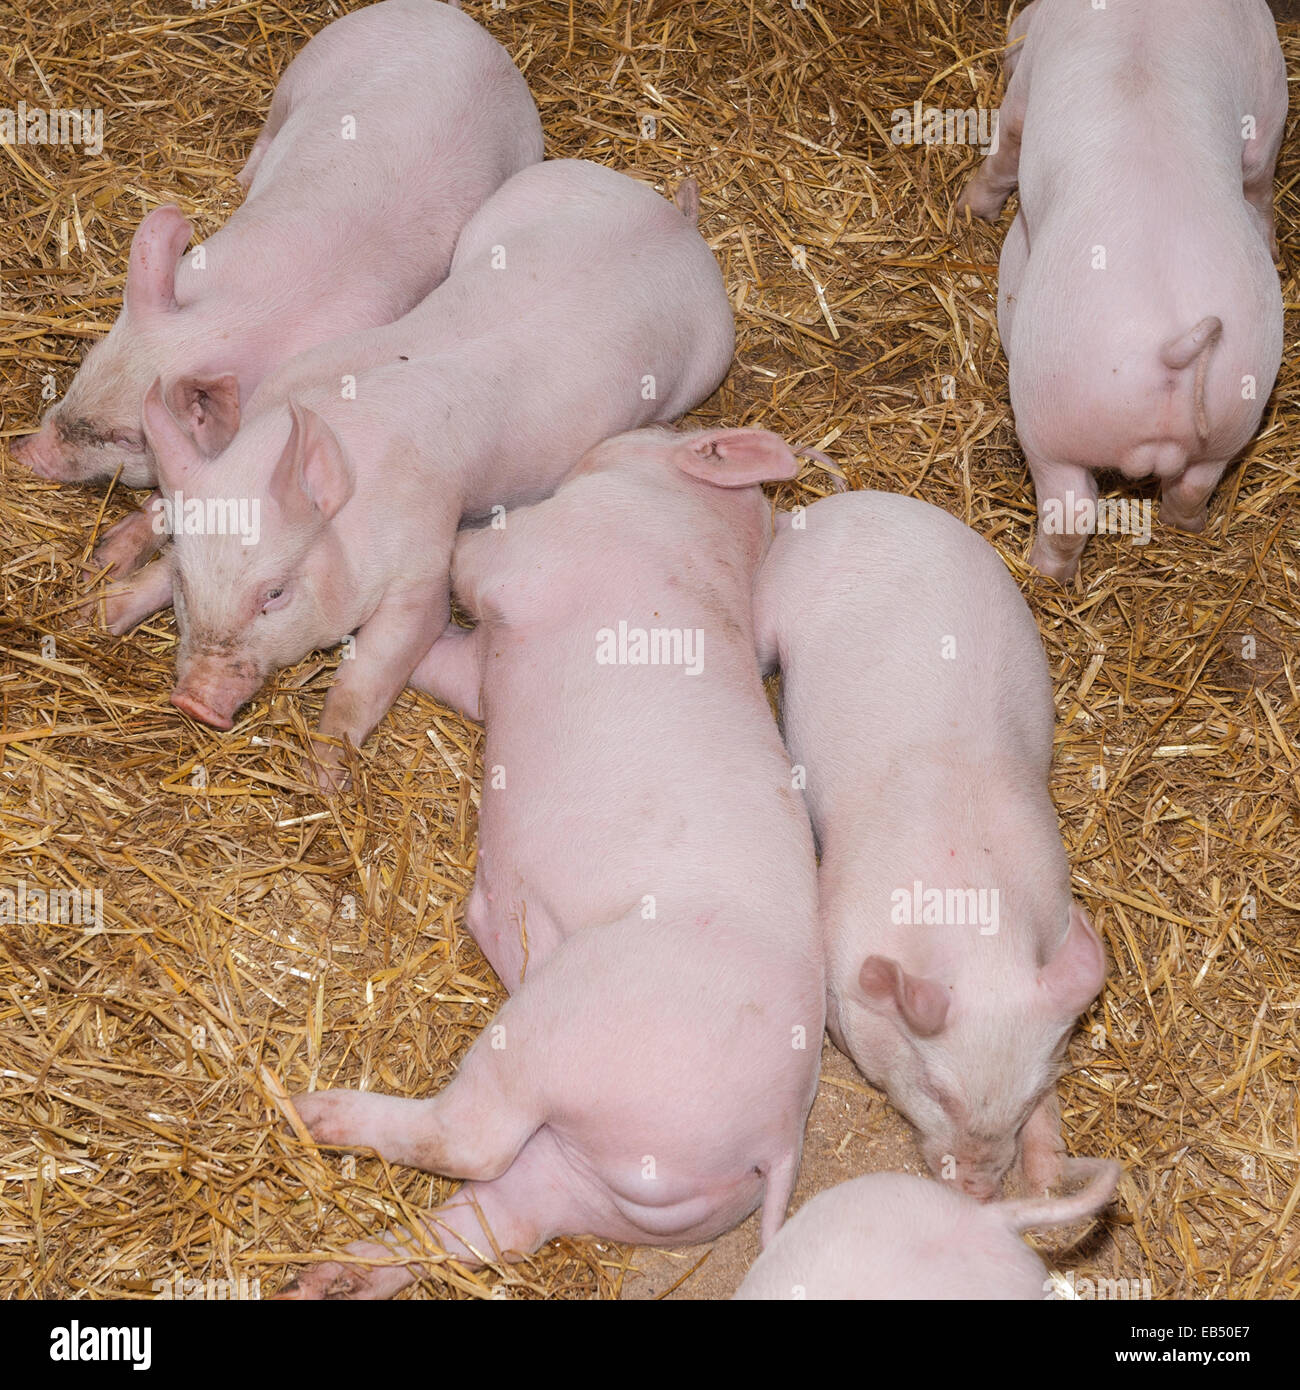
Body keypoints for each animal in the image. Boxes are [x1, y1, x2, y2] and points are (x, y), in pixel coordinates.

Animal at [12, 0, 542, 581]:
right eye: (86, 363)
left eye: (128, 438)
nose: (24, 451)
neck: (236, 320)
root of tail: (472, 32)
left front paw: (106, 561)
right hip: (310, 65)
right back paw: (245, 177)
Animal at [128, 159, 735, 788]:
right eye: (186, 583)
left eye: (274, 593)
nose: (194, 701)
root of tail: (674, 222)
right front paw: (102, 606)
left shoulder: (424, 557)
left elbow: (383, 659)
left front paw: (326, 774)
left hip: (703, 364)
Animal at [275, 426, 824, 1300]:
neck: (702, 534)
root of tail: (776, 1140)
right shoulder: (483, 671)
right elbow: (444, 666)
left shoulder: (533, 556)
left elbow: (465, 562)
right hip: (592, 1186)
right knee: (490, 1225)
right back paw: (323, 1277)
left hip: (562, 1029)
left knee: (470, 1139)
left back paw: (307, 1110)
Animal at [754, 490, 1107, 1200]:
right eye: (939, 1092)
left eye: (1024, 1100)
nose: (978, 1191)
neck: (974, 908)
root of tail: (856, 500)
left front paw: (1047, 1172)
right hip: (774, 595)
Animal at [956, 0, 1286, 581]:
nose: (1012, 28)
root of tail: (1173, 346)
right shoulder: (1268, 91)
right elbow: (1260, 177)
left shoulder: (1029, 79)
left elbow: (1008, 141)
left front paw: (969, 209)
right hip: (1235, 409)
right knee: (1194, 485)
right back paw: (1188, 528)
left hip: (1050, 413)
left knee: (1071, 510)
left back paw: (1043, 576)